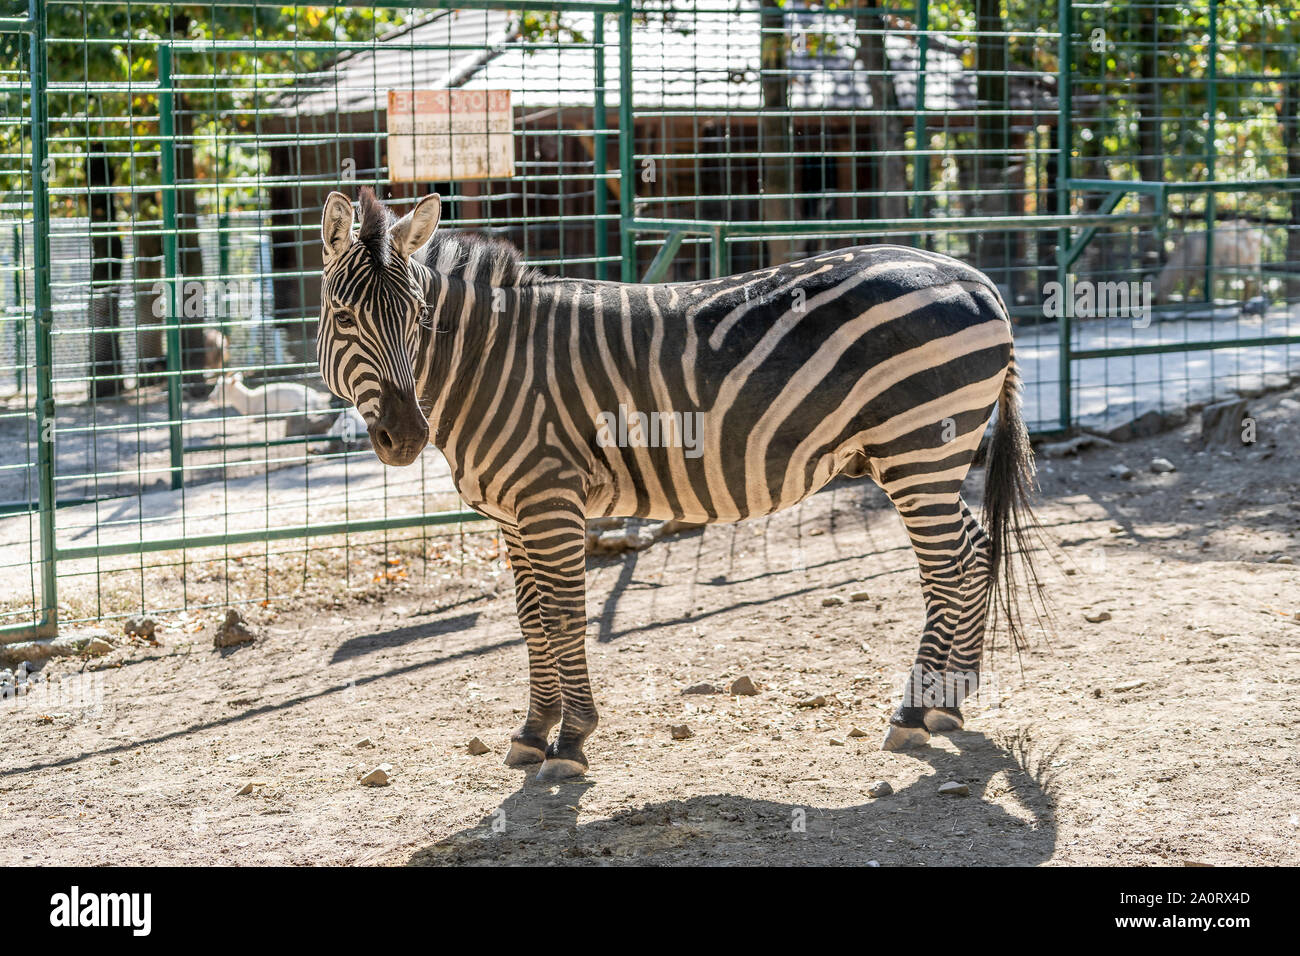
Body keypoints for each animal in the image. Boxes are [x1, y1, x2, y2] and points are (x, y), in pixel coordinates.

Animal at [317, 187, 1041, 781]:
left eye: (418, 317)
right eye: (344, 316)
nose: (406, 437)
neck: (487, 365)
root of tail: (974, 277)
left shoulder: (549, 498)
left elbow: (563, 614)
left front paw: (571, 741)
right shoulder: (512, 513)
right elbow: (530, 619)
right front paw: (532, 731)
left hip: (919, 450)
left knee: (949, 568)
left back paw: (916, 713)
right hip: (928, 461)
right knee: (974, 552)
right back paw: (953, 699)